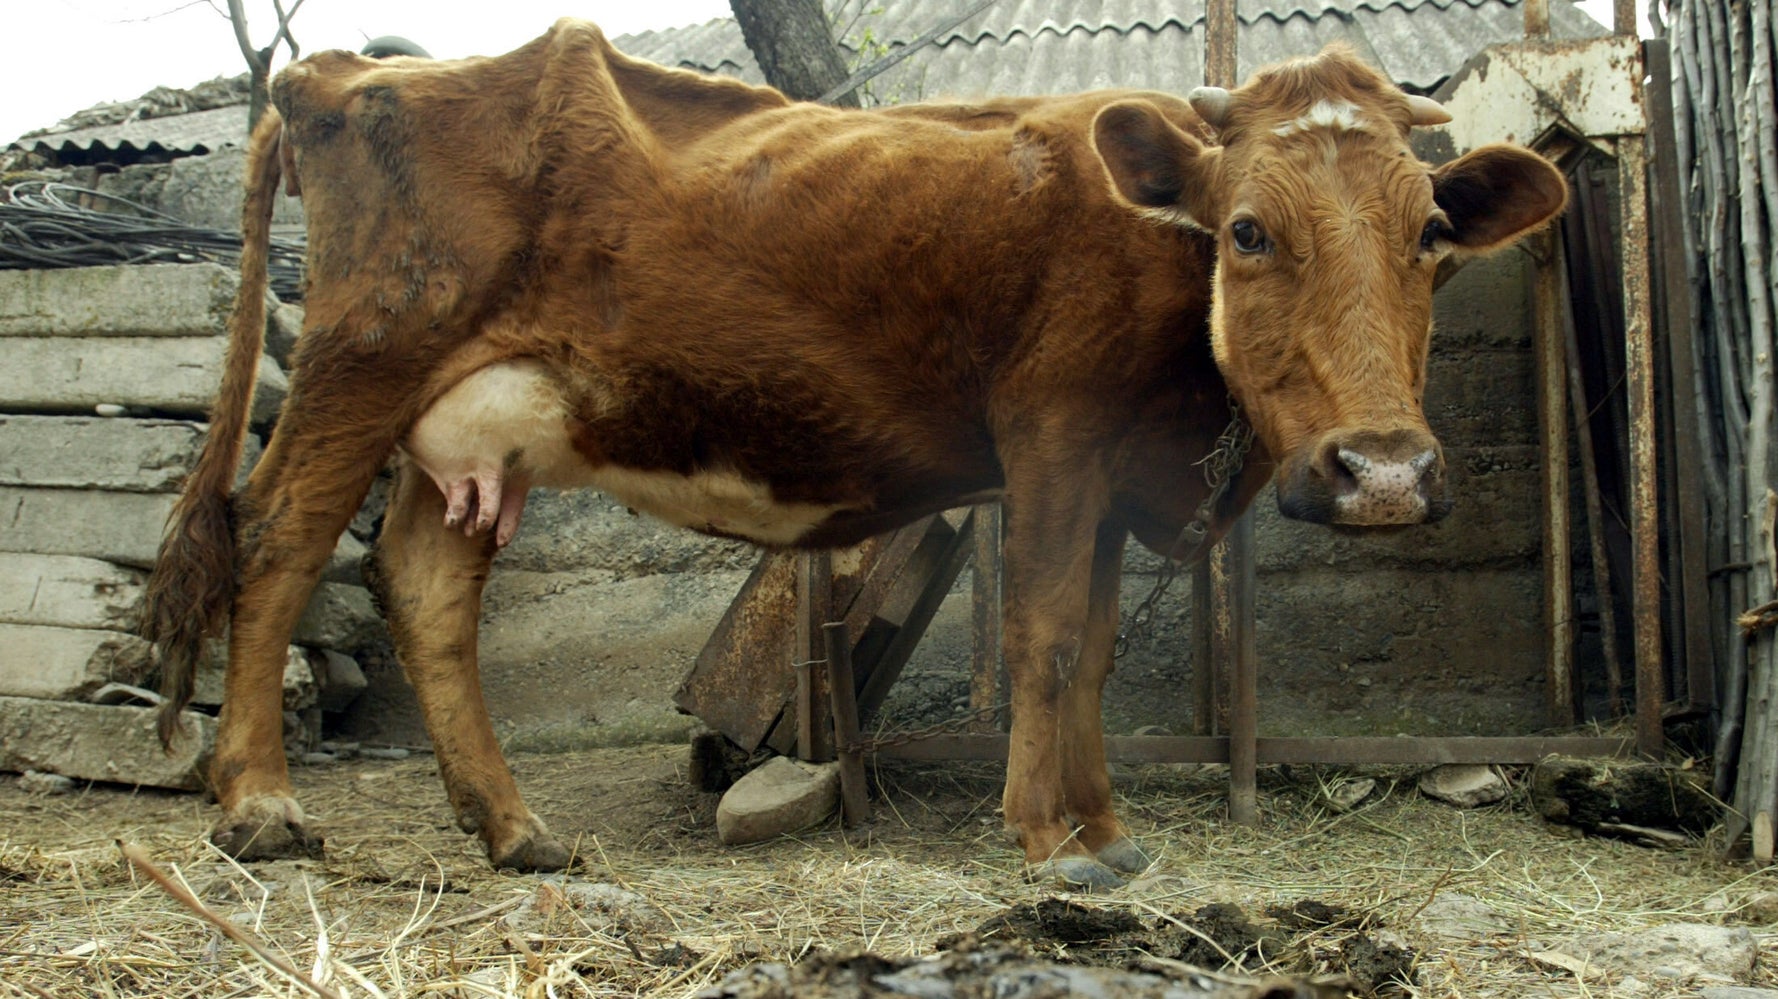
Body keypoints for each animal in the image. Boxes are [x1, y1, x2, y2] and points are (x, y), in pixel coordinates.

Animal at [141, 19, 1566, 889]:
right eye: (1251, 230)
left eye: (1430, 234)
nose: (1381, 473)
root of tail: (335, 74)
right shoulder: (1051, 440)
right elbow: (1043, 633)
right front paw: (1046, 837)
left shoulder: (1108, 476)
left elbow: (1094, 645)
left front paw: (1105, 826)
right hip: (363, 360)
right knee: (279, 539)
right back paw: (258, 803)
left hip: (475, 425)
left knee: (429, 587)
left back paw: (515, 828)